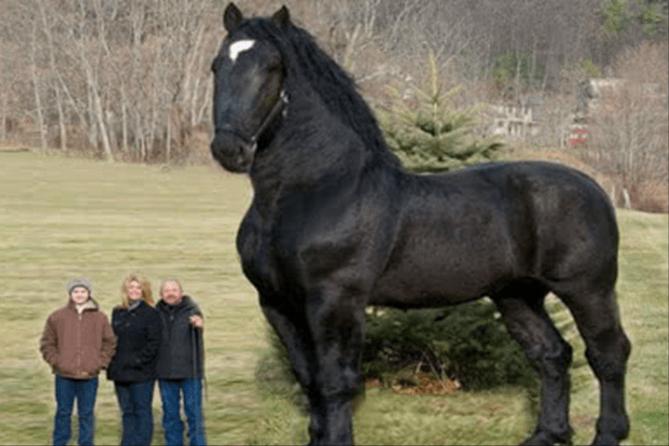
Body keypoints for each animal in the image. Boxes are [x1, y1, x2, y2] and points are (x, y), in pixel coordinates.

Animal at [210, 4, 631, 445]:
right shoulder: (277, 303)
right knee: (552, 354)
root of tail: (593, 186)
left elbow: (335, 383)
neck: (314, 190)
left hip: (588, 289)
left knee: (608, 354)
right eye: (217, 65)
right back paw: (547, 434)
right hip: (517, 295)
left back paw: (608, 433)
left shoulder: (335, 301)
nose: (229, 149)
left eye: (272, 67)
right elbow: (309, 380)